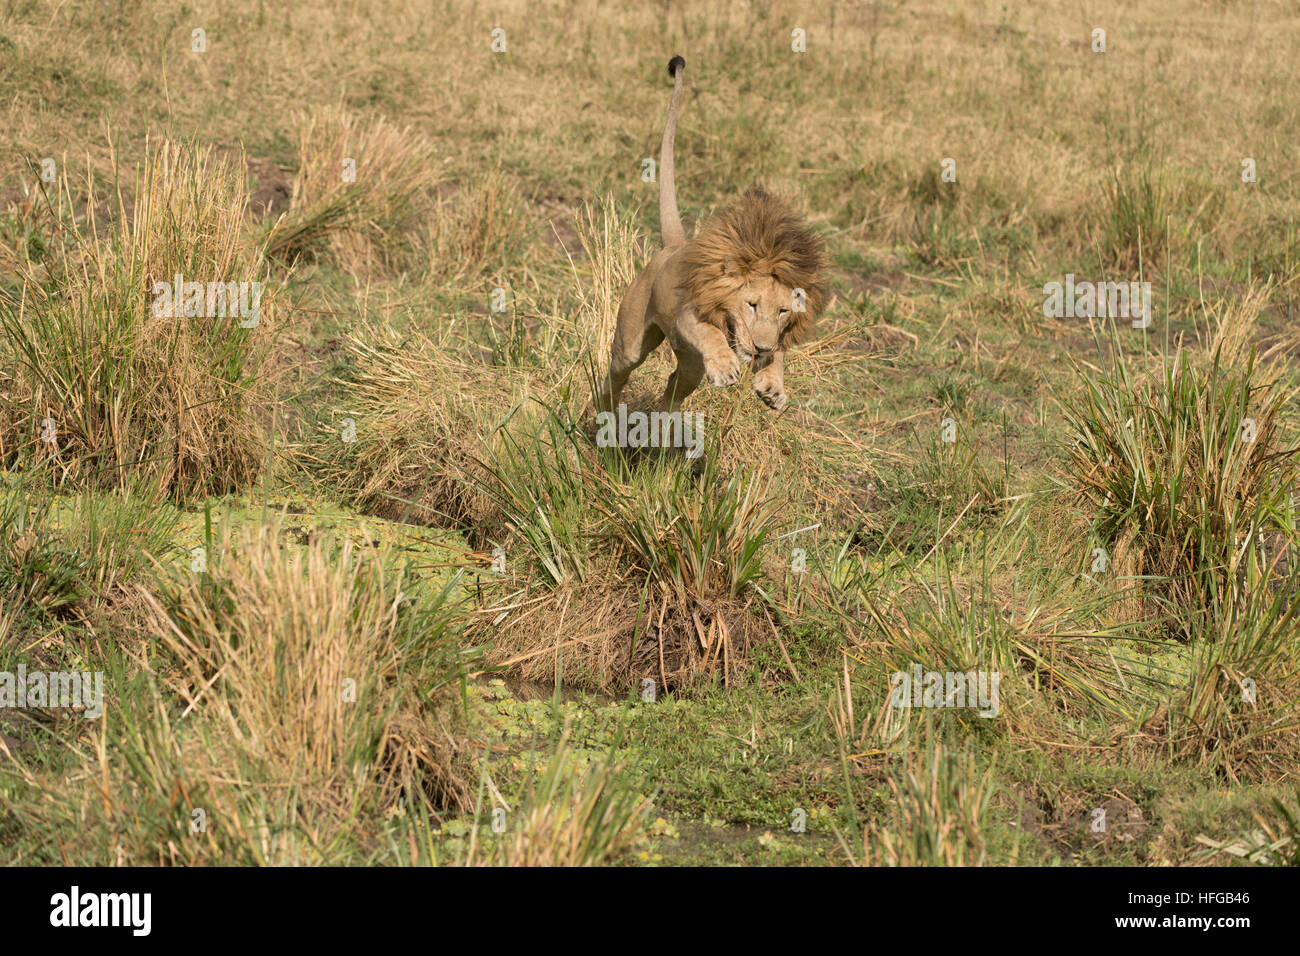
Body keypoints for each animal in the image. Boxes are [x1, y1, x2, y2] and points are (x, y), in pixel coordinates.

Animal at [596, 55, 829, 415]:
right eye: (751, 304)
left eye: (783, 311)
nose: (760, 348)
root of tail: (674, 246)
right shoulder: (687, 316)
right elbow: (710, 333)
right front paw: (725, 366)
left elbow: (779, 352)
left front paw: (773, 386)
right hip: (631, 344)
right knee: (616, 373)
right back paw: (603, 413)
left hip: (690, 366)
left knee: (674, 385)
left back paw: (663, 424)